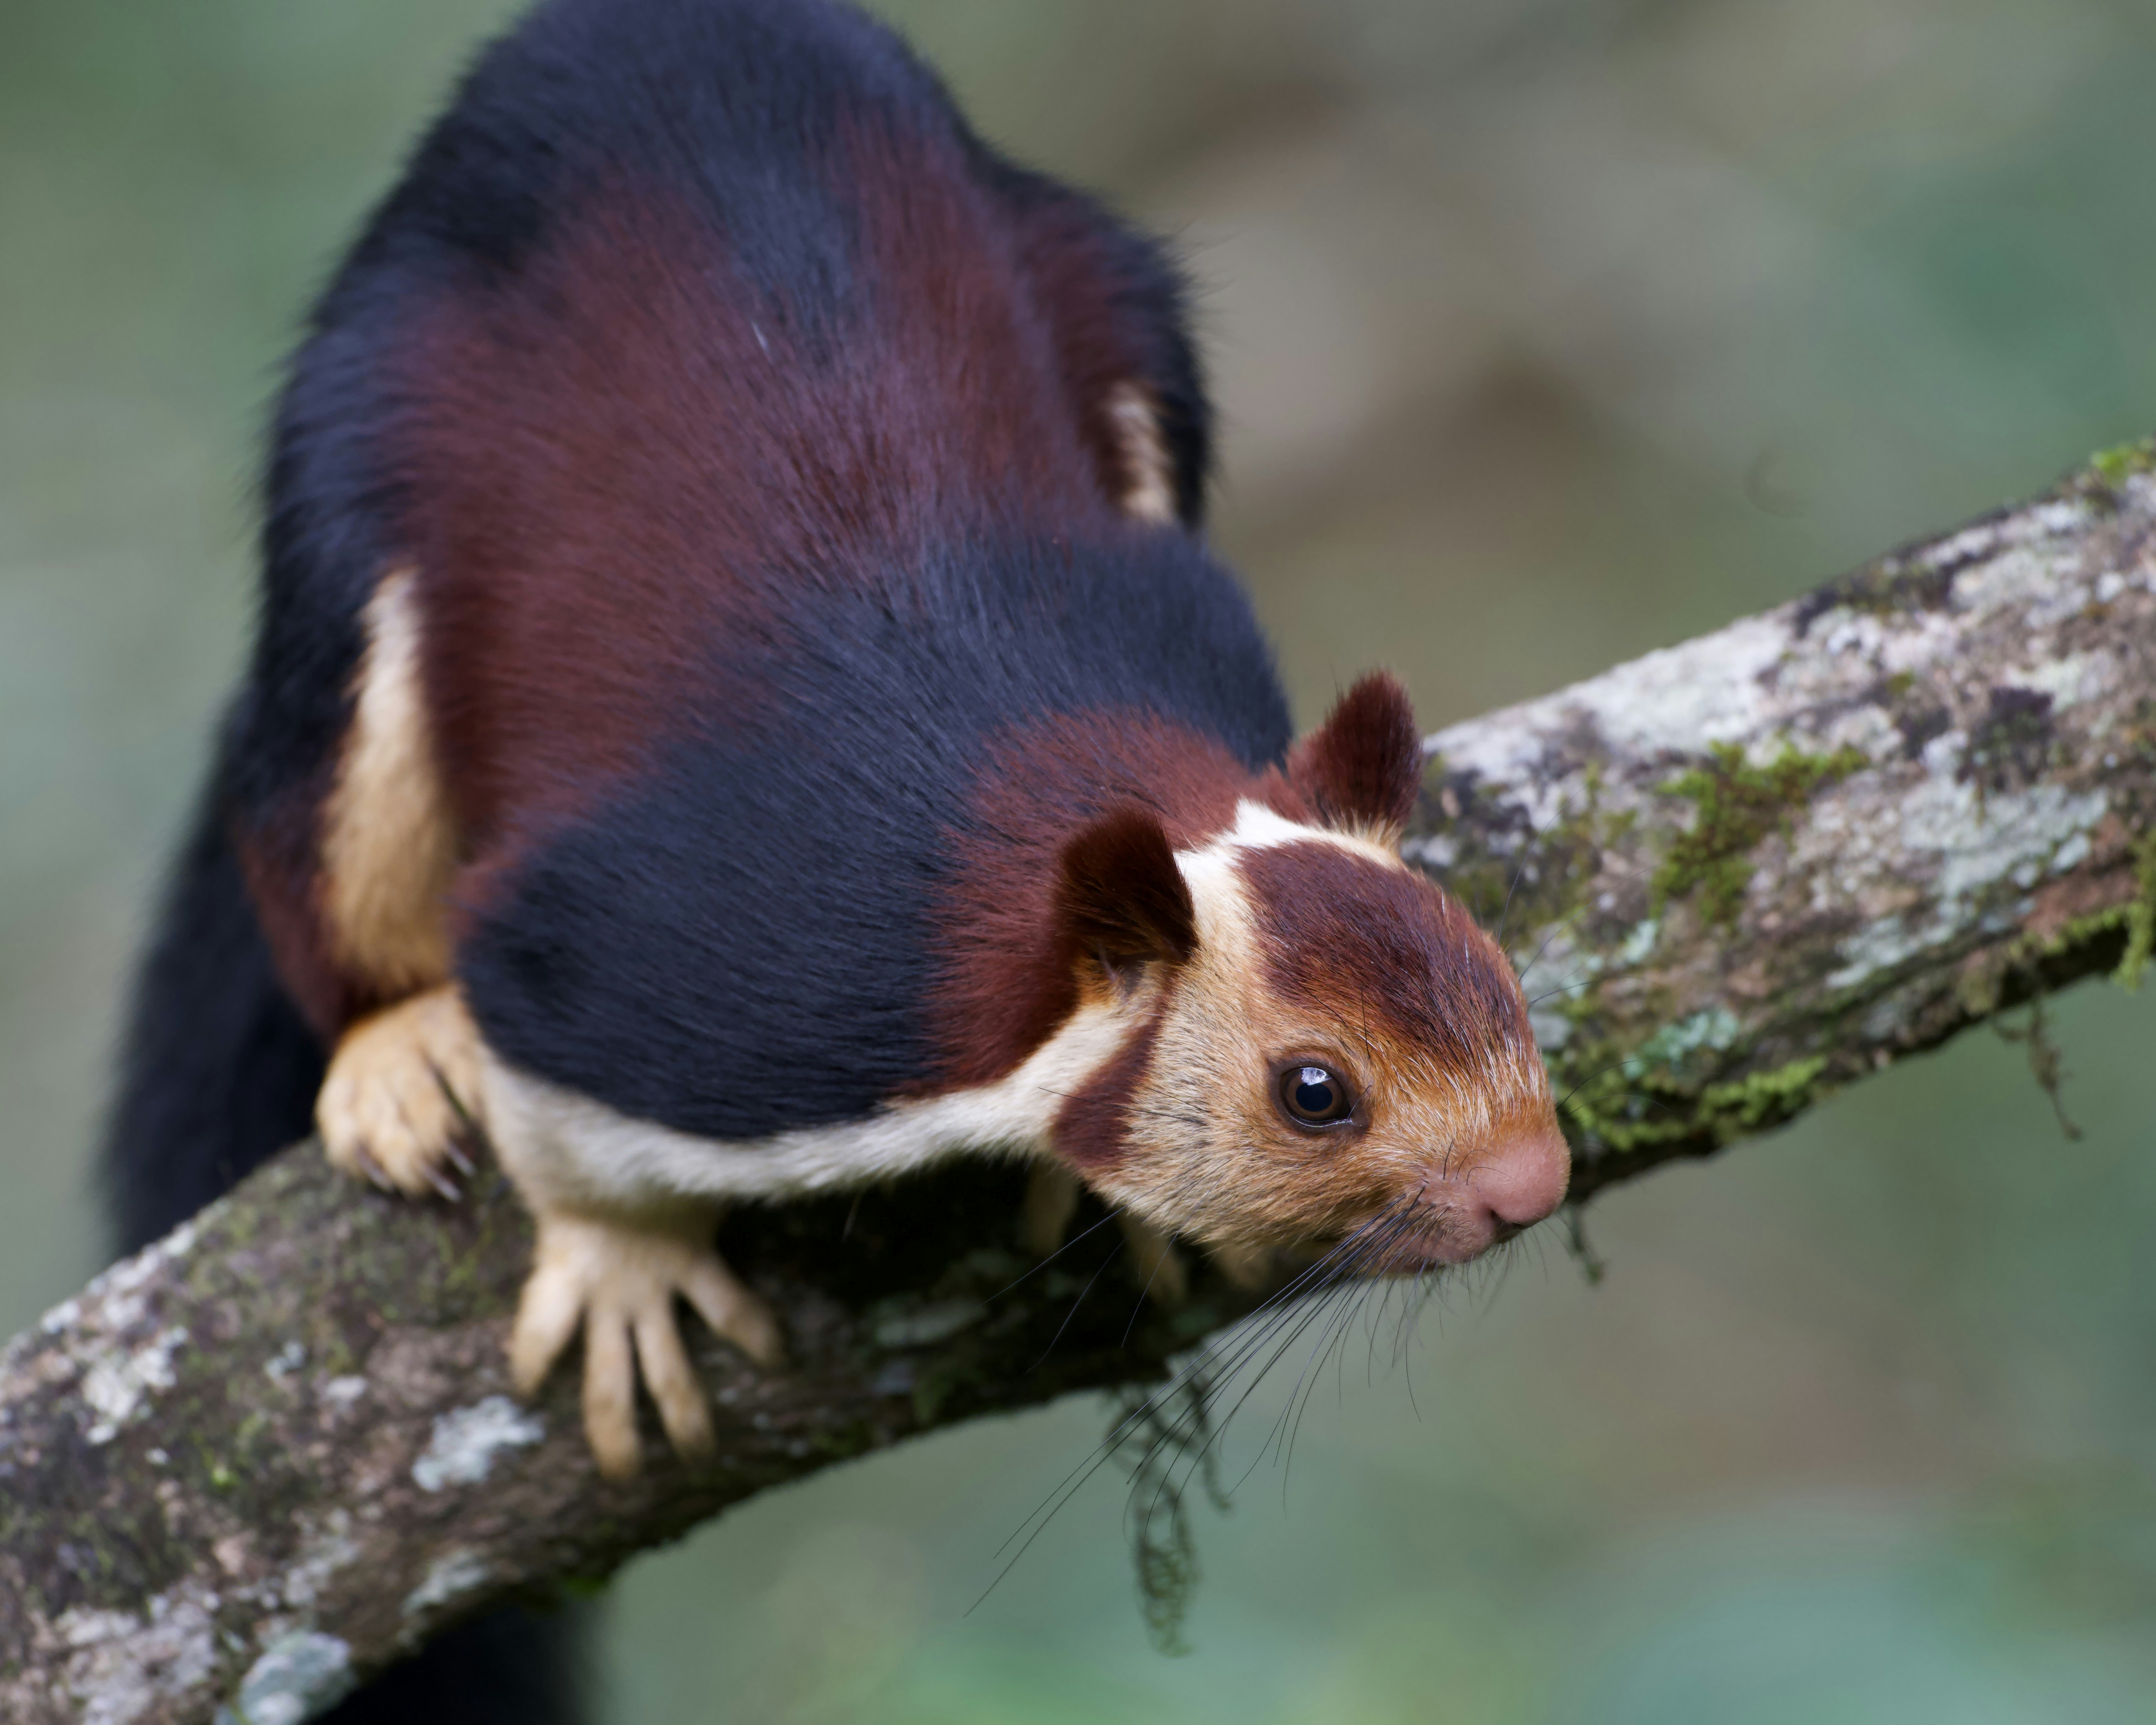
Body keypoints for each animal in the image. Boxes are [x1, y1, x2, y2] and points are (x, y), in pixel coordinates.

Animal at [103, 0, 1568, 1715]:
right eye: (1313, 1090)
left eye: (1501, 976)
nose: (1532, 1179)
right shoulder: (688, 967)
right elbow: (549, 1074)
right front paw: (620, 1268)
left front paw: (1113, 1198)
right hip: (352, 477)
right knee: (327, 793)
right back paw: (394, 1052)